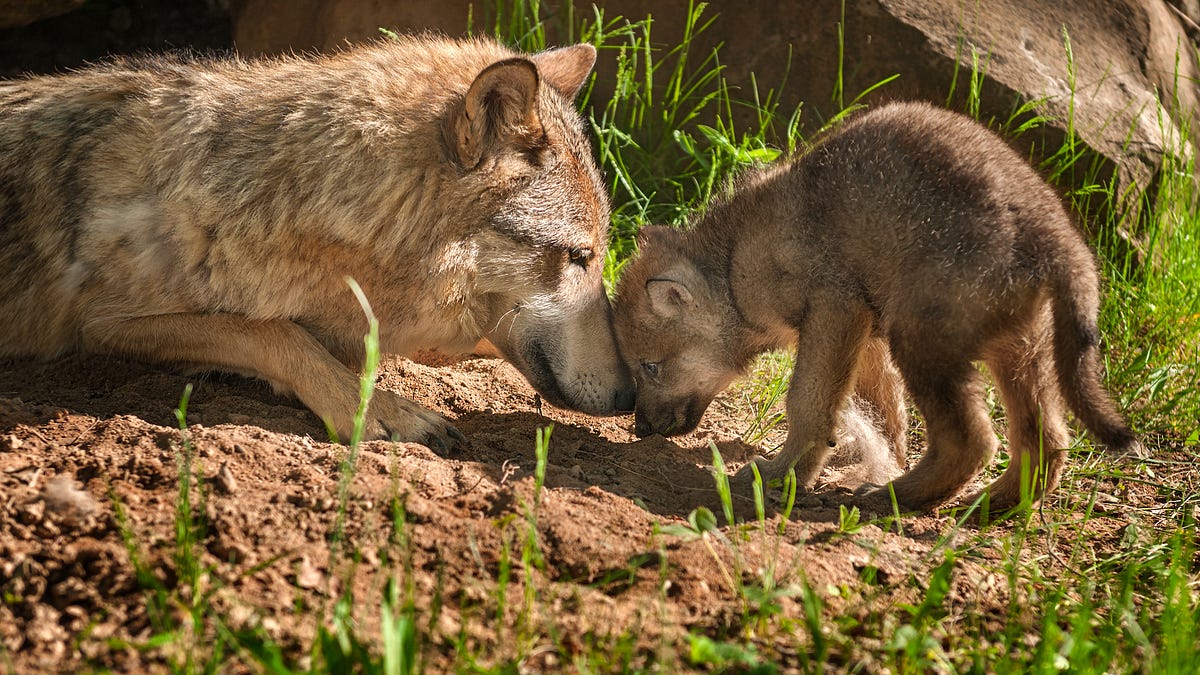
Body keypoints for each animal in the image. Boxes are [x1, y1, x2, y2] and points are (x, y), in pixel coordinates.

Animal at [0, 35, 636, 448]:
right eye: (579, 257)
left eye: (599, 256)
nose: (630, 397)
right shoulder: (105, 326)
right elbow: (273, 332)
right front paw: (381, 409)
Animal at [613, 101, 1142, 511]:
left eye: (650, 366)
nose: (640, 430)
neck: (735, 260)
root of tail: (1055, 238)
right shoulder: (864, 330)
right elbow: (884, 412)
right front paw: (870, 456)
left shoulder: (835, 309)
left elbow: (809, 403)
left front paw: (784, 474)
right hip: (1017, 353)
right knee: (1045, 442)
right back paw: (987, 505)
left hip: (923, 343)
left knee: (973, 441)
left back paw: (895, 496)